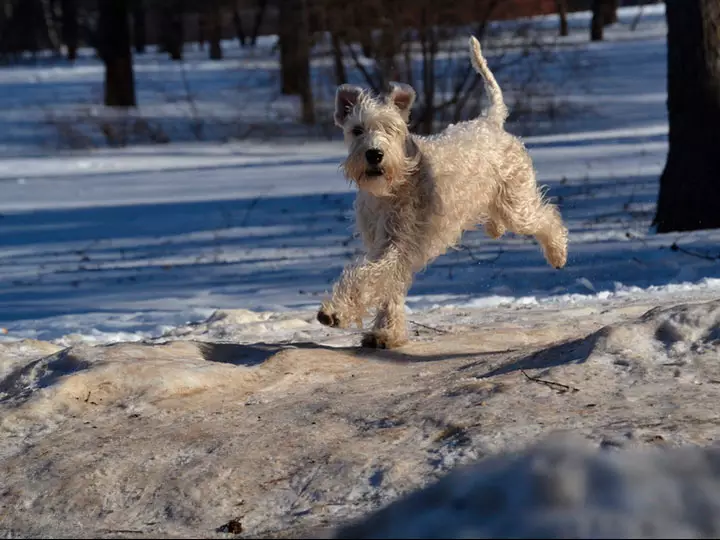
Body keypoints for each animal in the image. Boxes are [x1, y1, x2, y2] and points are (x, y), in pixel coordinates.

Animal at [316, 38, 568, 350]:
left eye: (391, 129)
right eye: (357, 130)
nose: (374, 154)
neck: (391, 188)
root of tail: (490, 121)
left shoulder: (398, 243)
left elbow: (370, 277)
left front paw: (336, 311)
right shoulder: (382, 242)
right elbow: (388, 287)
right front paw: (386, 333)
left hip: (517, 204)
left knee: (547, 217)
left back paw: (558, 254)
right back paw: (495, 228)